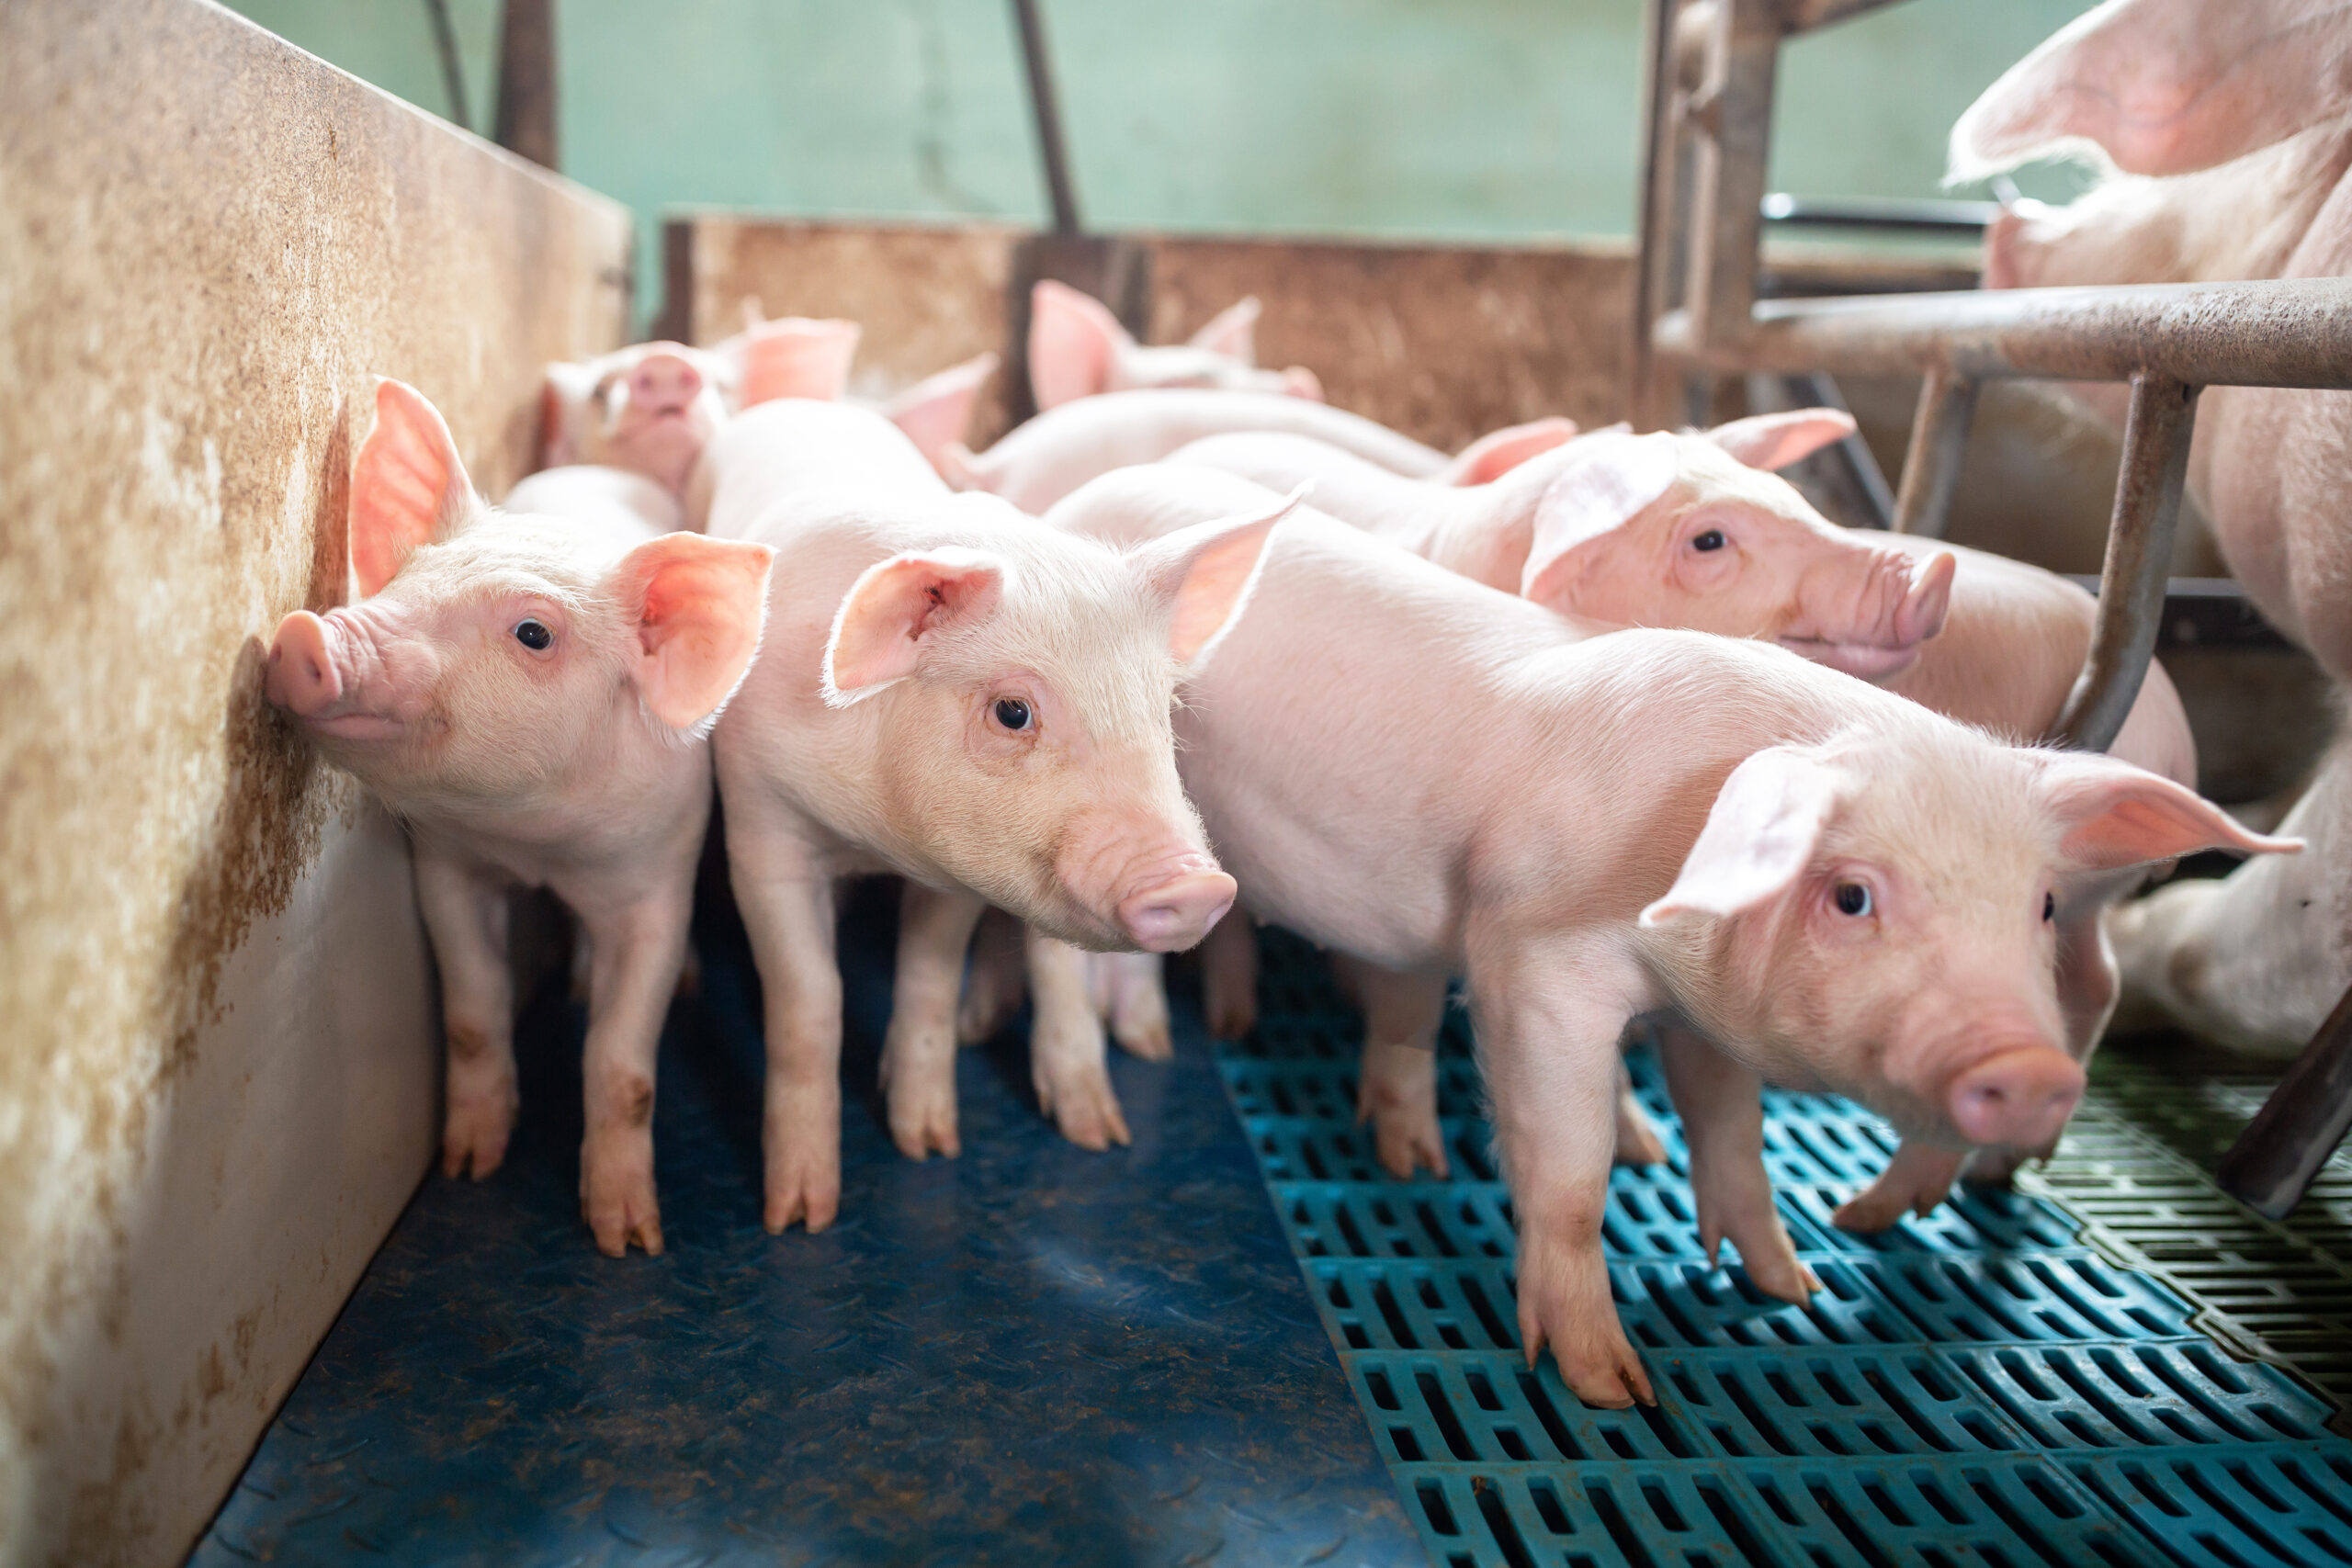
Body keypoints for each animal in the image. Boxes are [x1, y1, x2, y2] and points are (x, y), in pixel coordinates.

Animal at [265, 378, 776, 1257]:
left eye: (533, 633)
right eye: (405, 574)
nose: (304, 634)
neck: (539, 844)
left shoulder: (656, 882)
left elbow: (622, 1064)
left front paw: (628, 1240)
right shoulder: (447, 866)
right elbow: (474, 1010)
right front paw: (469, 1166)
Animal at [699, 398, 1281, 1228]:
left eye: (1165, 705)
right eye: (1012, 711)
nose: (1200, 887)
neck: (871, 833)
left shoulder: (956, 871)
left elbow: (929, 976)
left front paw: (930, 1147)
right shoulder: (759, 827)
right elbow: (809, 1001)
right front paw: (800, 1217)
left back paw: (1103, 1128)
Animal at [1048, 462, 2292, 1406]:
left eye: (2033, 902)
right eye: (1850, 896)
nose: (2030, 1070)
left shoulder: (1705, 1008)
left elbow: (1731, 1126)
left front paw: (1790, 1286)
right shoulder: (1530, 963)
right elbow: (1571, 1169)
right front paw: (1614, 1389)